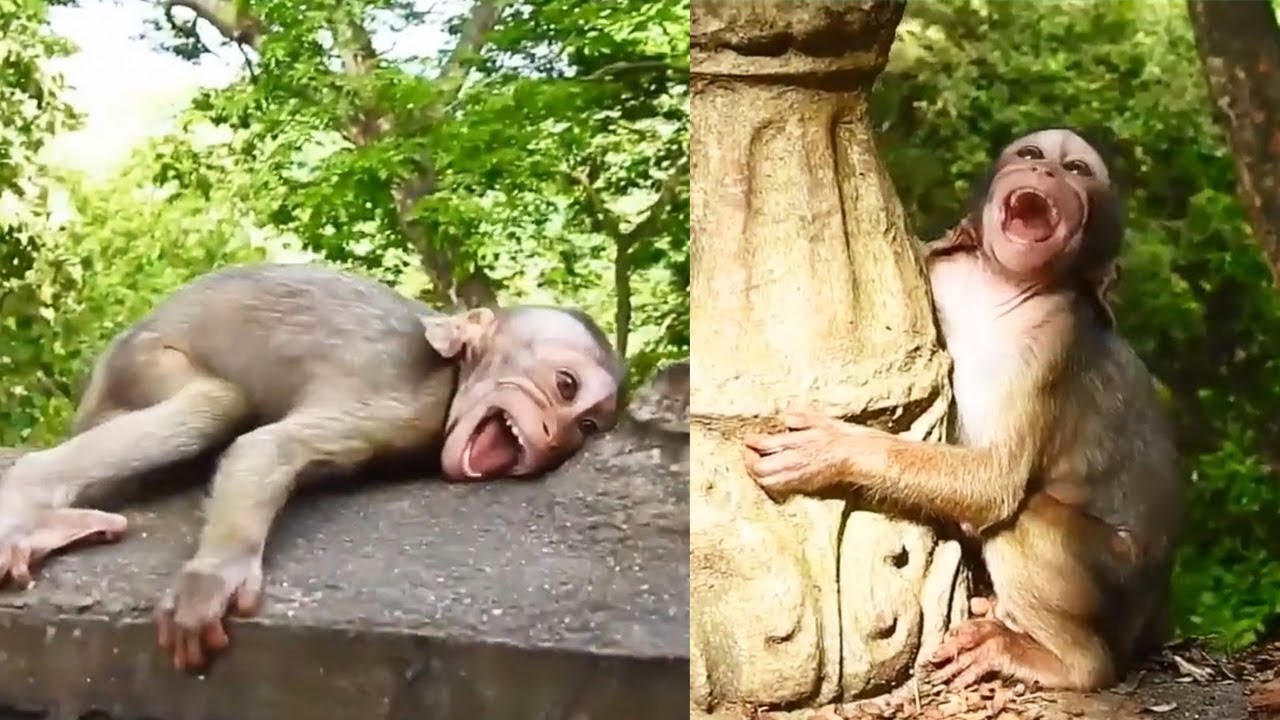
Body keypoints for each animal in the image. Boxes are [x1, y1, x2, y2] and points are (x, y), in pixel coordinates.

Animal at [0, 262, 623, 671]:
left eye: (588, 427)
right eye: (565, 387)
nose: (557, 435)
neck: (451, 377)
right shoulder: (398, 396)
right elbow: (267, 448)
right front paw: (215, 575)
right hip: (139, 363)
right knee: (214, 403)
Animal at [741, 128, 1183, 692]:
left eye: (1077, 170)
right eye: (1032, 155)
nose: (1046, 172)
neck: (998, 289)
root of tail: (1154, 613)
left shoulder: (1053, 340)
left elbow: (996, 482)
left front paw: (832, 449)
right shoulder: (942, 270)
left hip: (1115, 577)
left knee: (1022, 524)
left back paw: (1059, 660)